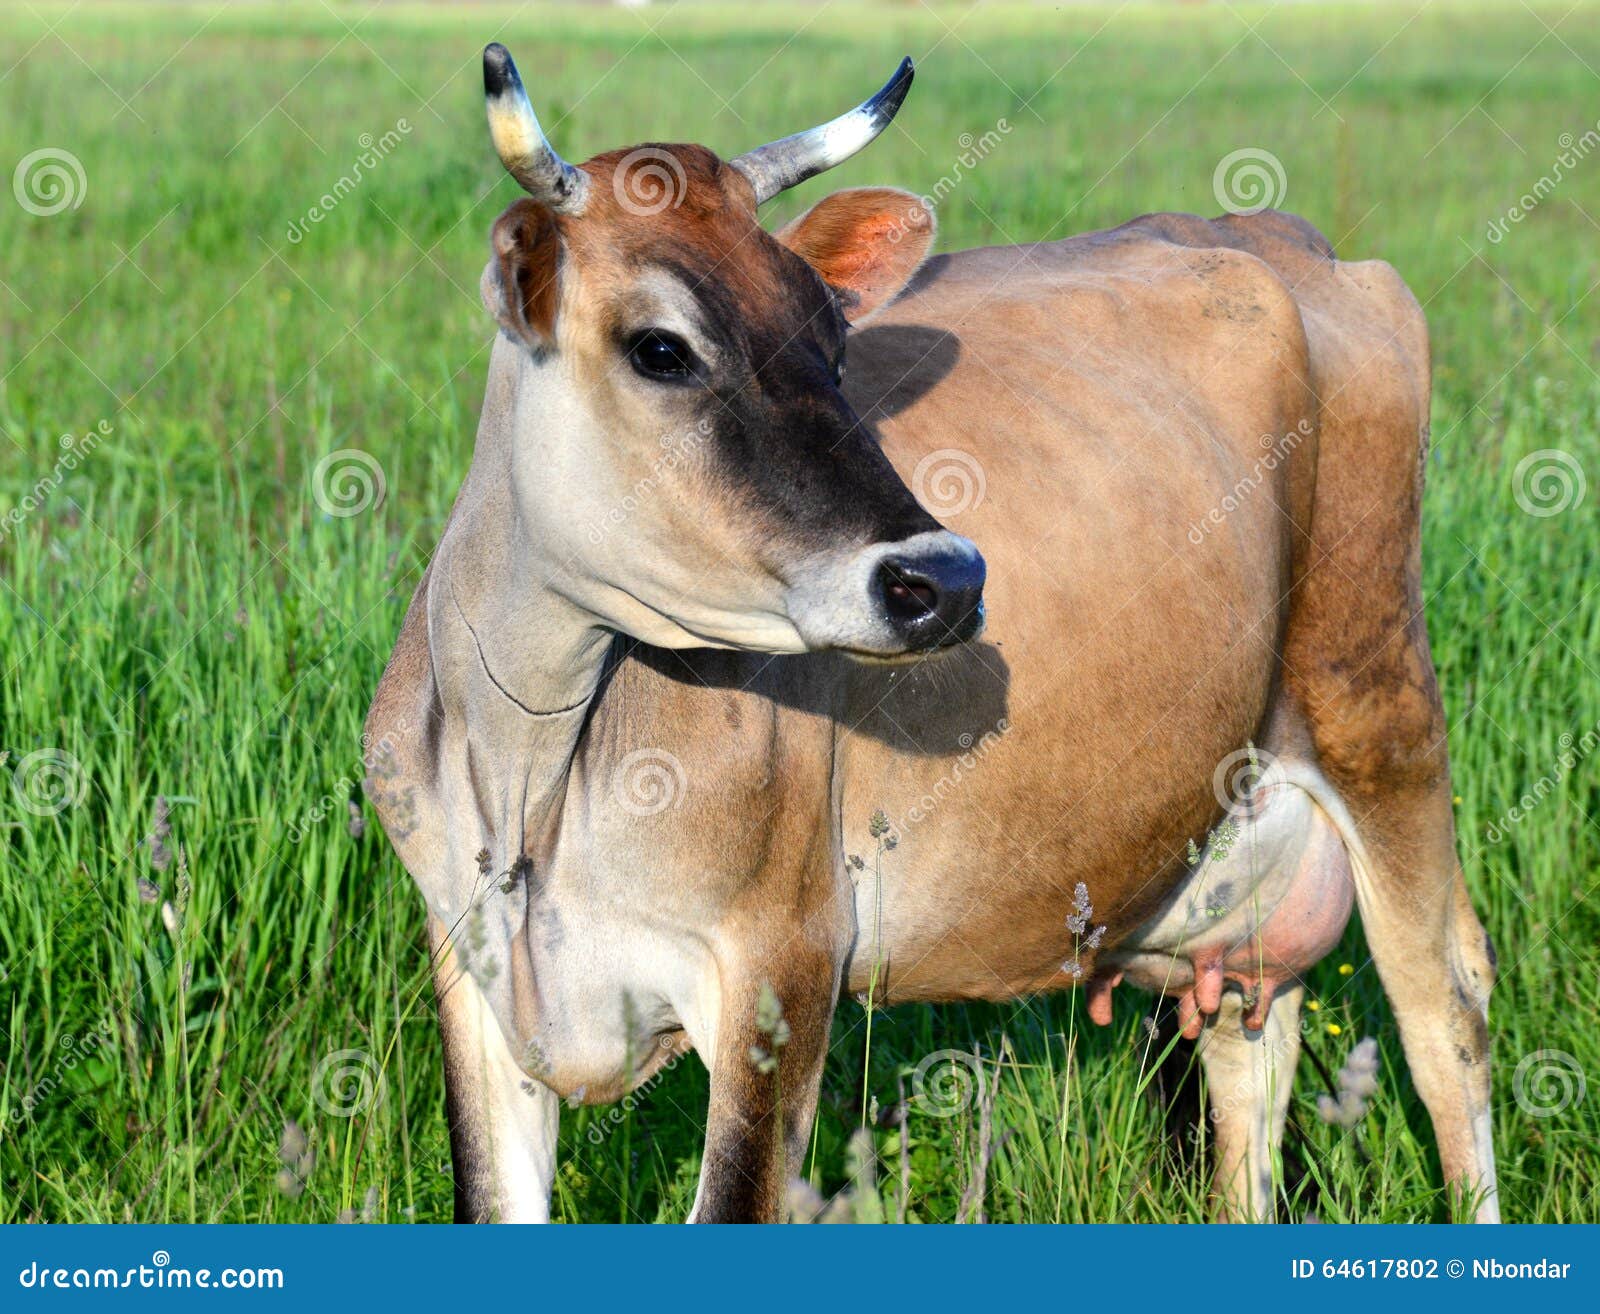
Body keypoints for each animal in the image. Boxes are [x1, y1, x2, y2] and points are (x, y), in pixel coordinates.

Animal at [364, 42, 1500, 1224]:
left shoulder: (781, 962)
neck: (532, 766)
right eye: (661, 348)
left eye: (833, 341)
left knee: (1445, 1006)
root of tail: (1278, 237)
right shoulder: (471, 972)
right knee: (1250, 1052)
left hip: (1379, 709)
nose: (945, 578)